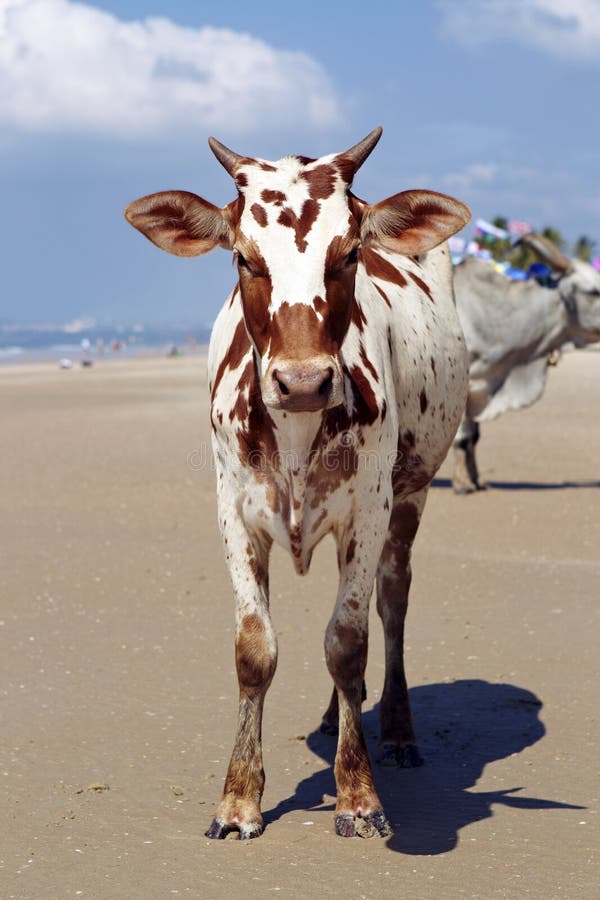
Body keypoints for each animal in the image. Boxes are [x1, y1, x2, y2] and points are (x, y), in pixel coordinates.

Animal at [125, 127, 470, 839]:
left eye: (350, 253)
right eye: (244, 259)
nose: (305, 381)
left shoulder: (369, 511)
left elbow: (348, 642)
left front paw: (357, 792)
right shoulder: (234, 515)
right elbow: (256, 650)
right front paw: (238, 798)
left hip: (411, 496)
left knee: (389, 604)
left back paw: (395, 729)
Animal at [452, 233, 600, 493]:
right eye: (594, 292)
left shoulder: (480, 388)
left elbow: (474, 438)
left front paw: (477, 479)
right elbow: (462, 438)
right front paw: (461, 483)